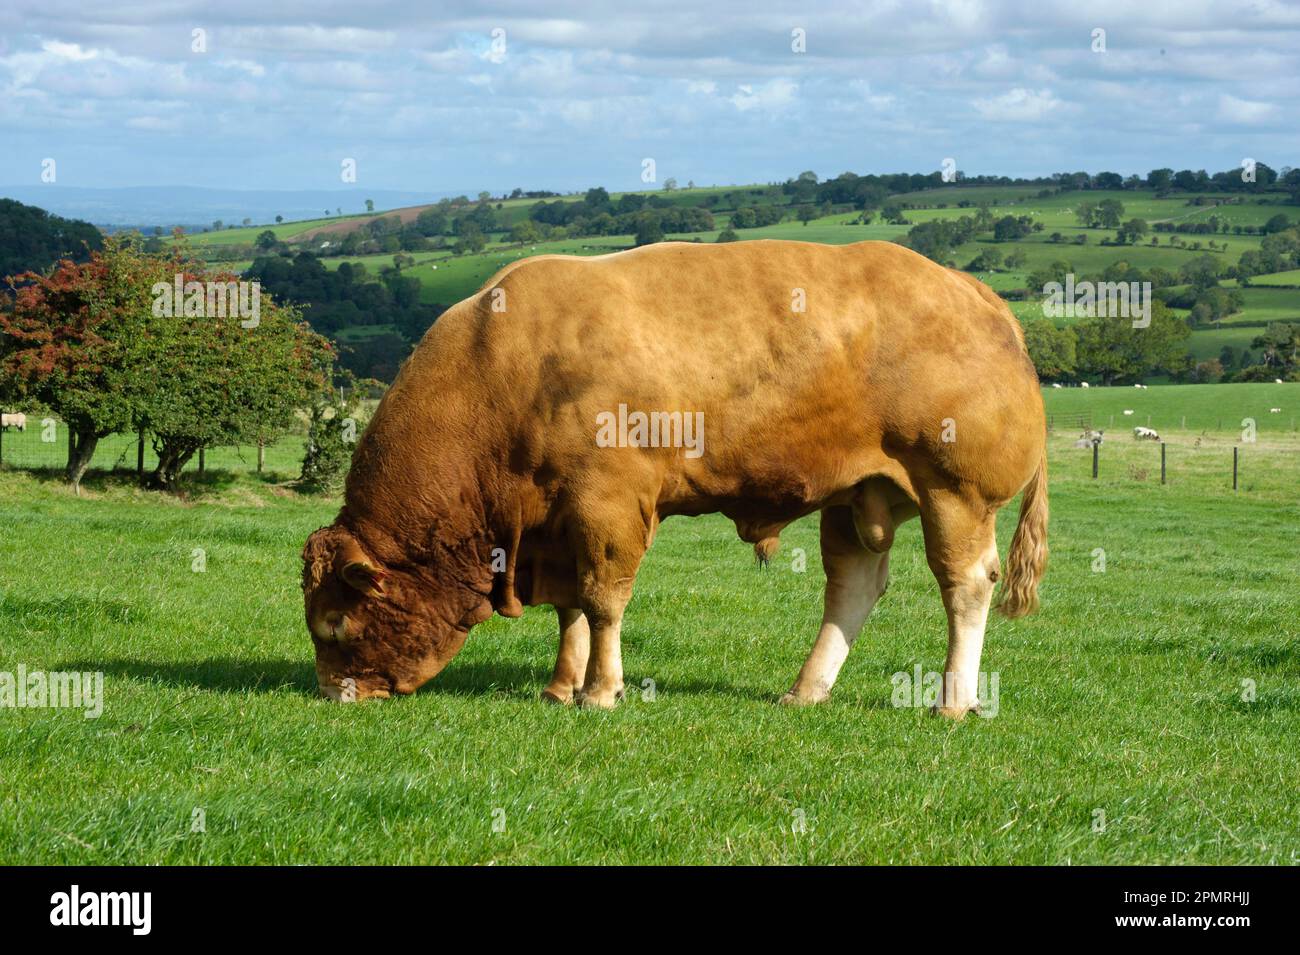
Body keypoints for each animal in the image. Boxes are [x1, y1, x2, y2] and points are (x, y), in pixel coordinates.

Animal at [301, 240, 1049, 719]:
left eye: (335, 624)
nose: (333, 694)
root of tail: (969, 287)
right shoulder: (554, 524)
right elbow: (571, 608)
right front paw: (560, 686)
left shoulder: (605, 503)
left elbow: (602, 599)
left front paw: (600, 692)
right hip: (858, 495)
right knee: (854, 587)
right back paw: (806, 690)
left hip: (954, 492)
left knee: (965, 585)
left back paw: (953, 700)